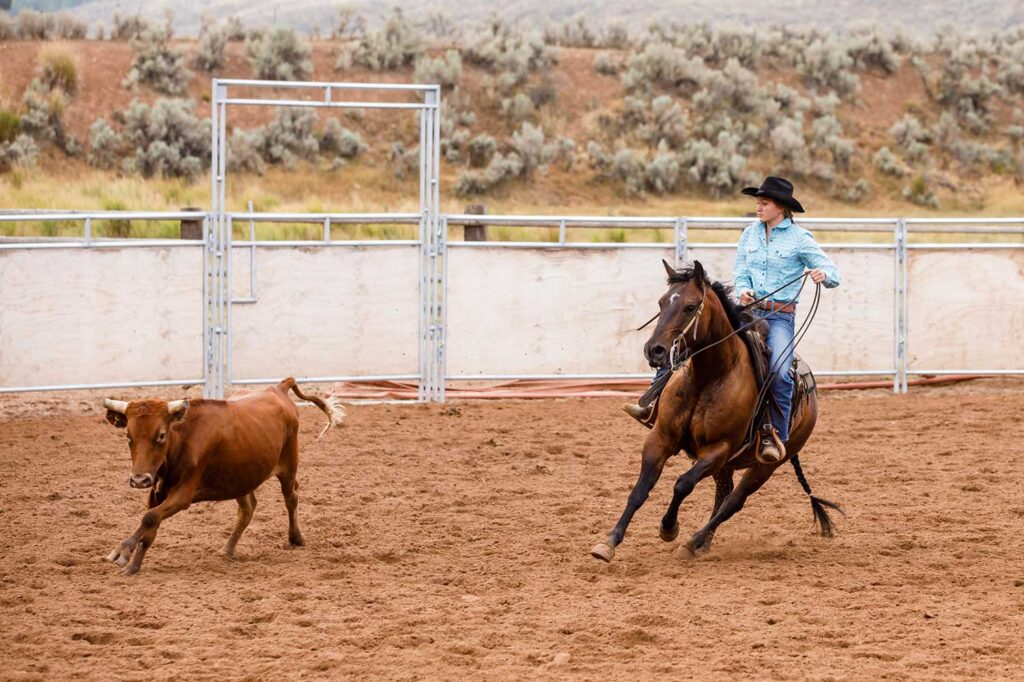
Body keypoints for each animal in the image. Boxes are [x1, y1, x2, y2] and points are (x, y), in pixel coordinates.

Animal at [591, 259, 841, 562]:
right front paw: (609, 542)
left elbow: (682, 484)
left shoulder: (718, 449)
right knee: (723, 496)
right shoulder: (660, 438)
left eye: (690, 306)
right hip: (728, 465)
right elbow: (641, 489)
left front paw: (669, 528)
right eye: (662, 302)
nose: (655, 351)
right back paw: (702, 543)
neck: (707, 378)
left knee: (733, 502)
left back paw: (692, 542)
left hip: (764, 466)